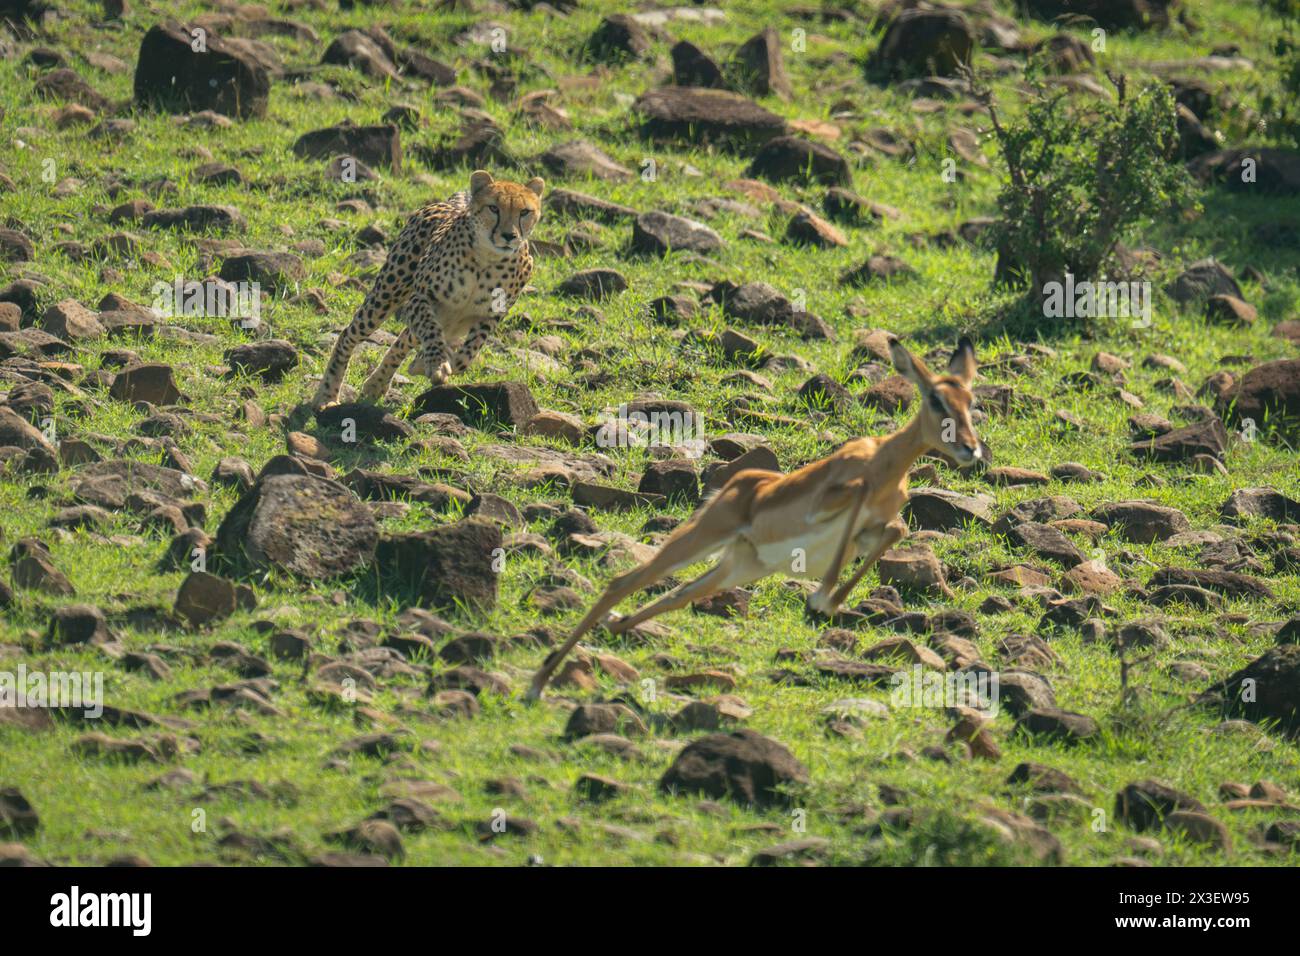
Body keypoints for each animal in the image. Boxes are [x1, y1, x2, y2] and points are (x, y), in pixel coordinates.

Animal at [310, 169, 543, 410]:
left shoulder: (490, 316)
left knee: (404, 339)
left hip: (448, 320)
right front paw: (436, 362)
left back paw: (377, 384)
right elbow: (430, 330)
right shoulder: (421, 298)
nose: (509, 236)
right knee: (349, 334)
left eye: (524, 212)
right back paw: (327, 394)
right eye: (494, 208)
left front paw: (428, 363)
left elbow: (468, 355)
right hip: (388, 294)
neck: (488, 259)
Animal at [527, 335, 981, 700]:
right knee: (623, 582)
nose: (970, 449)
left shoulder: (870, 533)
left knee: (676, 595)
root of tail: (735, 485)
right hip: (700, 537)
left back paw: (612, 630)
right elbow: (860, 498)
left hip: (740, 566)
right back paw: (538, 682)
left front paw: (826, 600)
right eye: (936, 399)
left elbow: (897, 529)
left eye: (971, 403)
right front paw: (821, 596)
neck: (885, 465)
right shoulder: (831, 501)